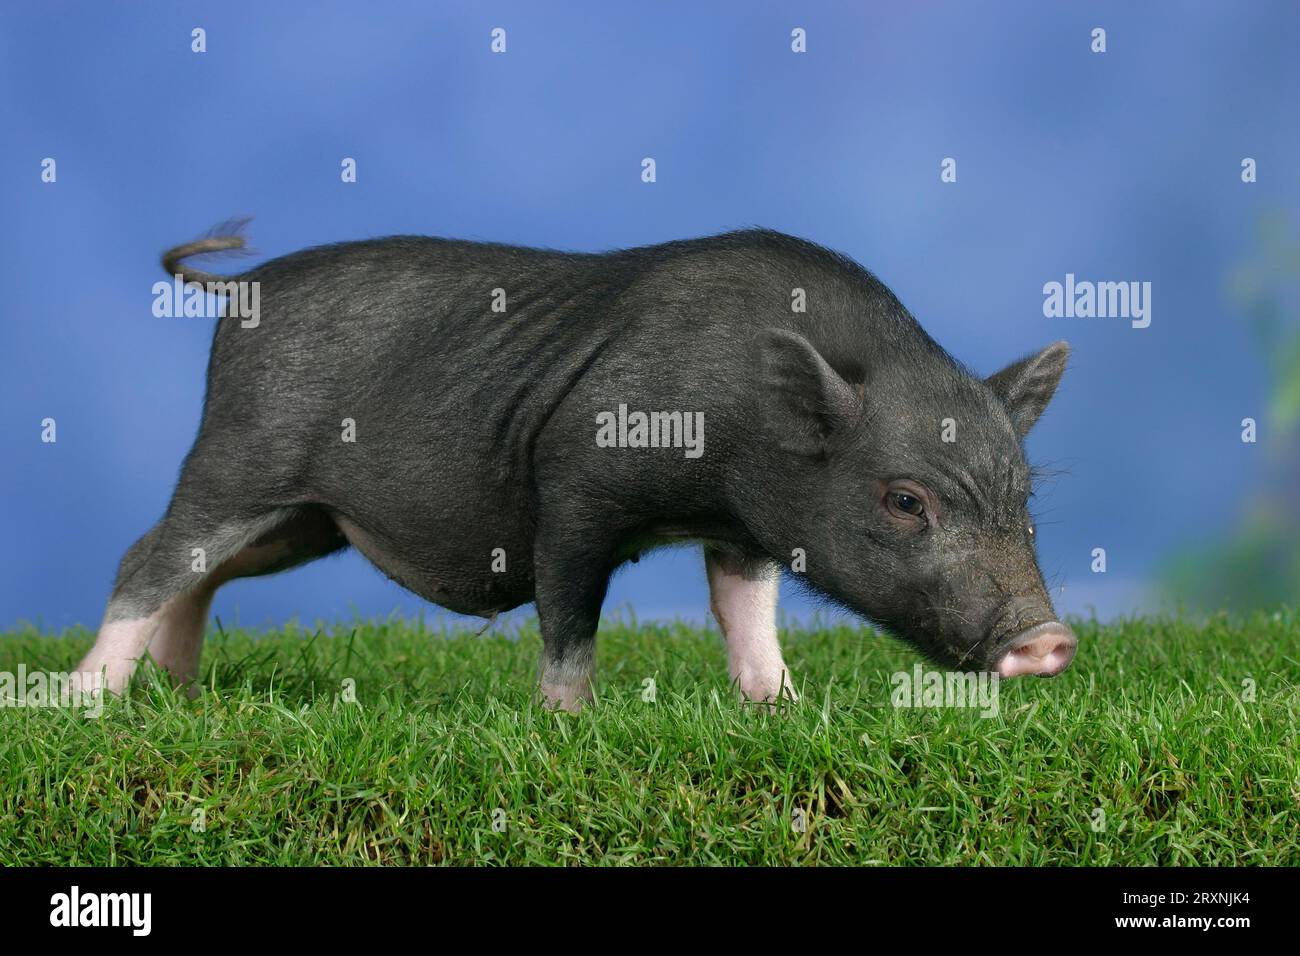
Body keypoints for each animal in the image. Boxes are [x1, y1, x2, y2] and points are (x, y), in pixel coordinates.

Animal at [77, 226, 1076, 710]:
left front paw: (782, 709)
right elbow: (569, 615)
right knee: (147, 557)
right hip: (238, 460)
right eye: (906, 500)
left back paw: (183, 691)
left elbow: (747, 615)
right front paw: (568, 720)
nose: (1051, 639)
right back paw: (91, 699)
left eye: (1026, 503)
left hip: (309, 521)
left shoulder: (744, 531)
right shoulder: (574, 488)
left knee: (201, 574)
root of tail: (238, 290)